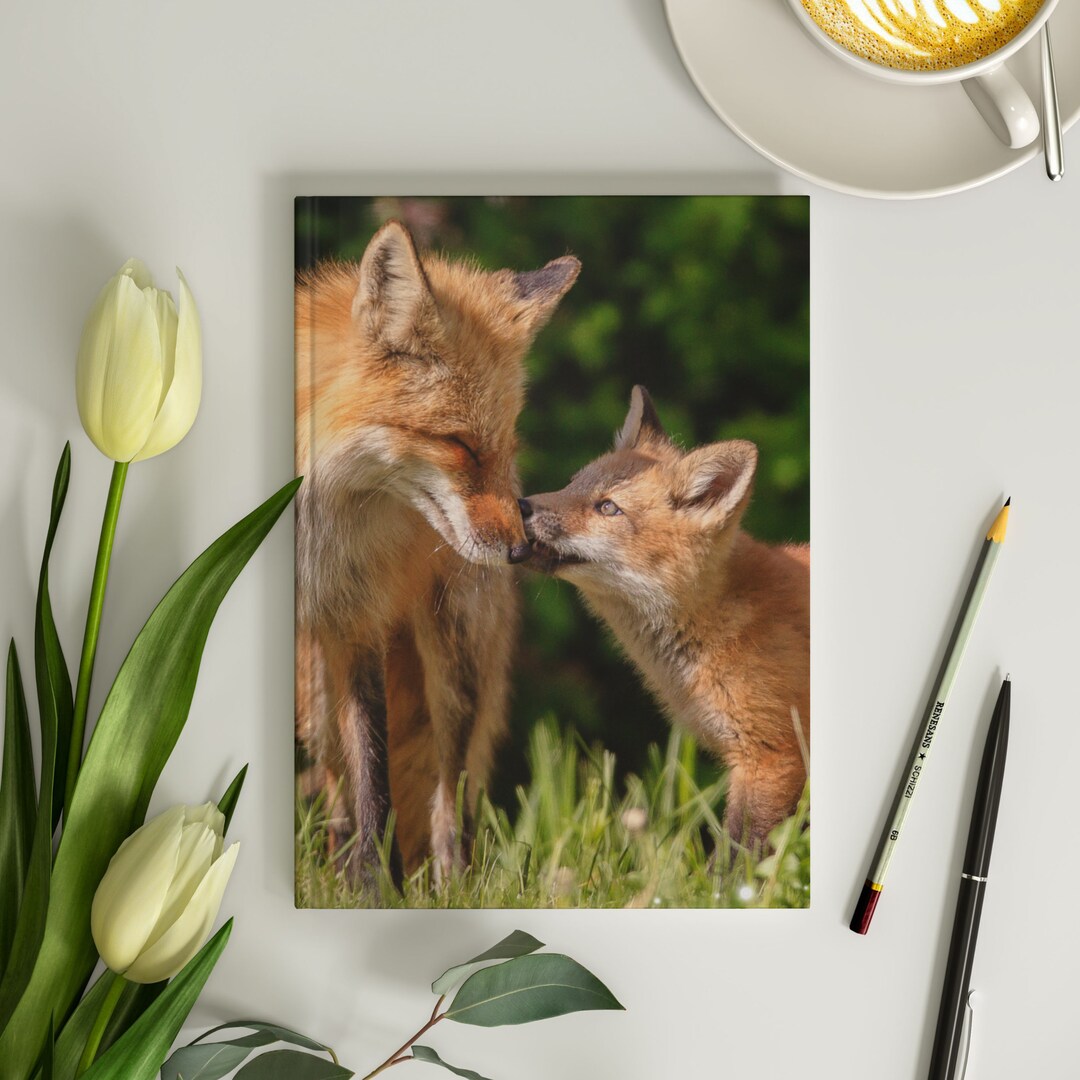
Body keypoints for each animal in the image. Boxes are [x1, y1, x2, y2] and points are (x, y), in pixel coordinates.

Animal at [295, 219, 580, 883]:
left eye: (504, 448)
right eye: (461, 445)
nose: (523, 551)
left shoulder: (355, 622)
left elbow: (377, 782)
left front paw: (373, 890)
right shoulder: (335, 624)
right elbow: (365, 781)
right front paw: (364, 887)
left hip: (456, 659)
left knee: (448, 794)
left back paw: (448, 884)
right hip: (315, 689)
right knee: (338, 780)